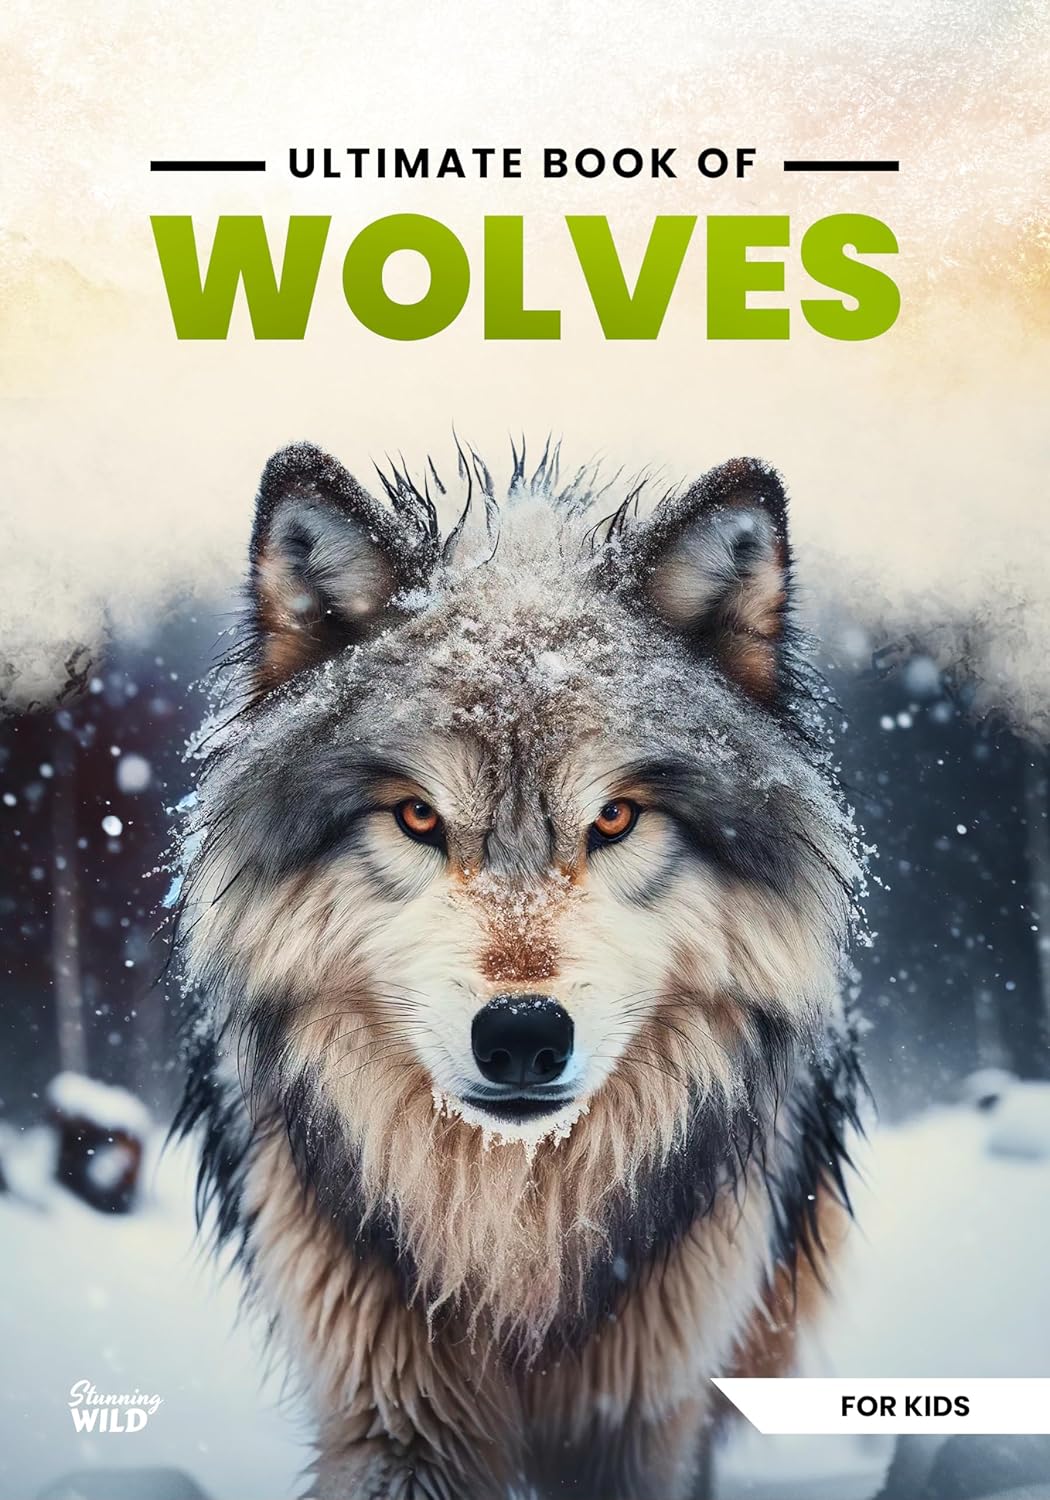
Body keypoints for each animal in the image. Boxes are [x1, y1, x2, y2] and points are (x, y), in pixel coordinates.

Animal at [174, 440, 864, 1499]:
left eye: (614, 817)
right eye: (418, 815)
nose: (523, 1036)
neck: (515, 1236)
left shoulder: (648, 1407)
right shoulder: (392, 1408)